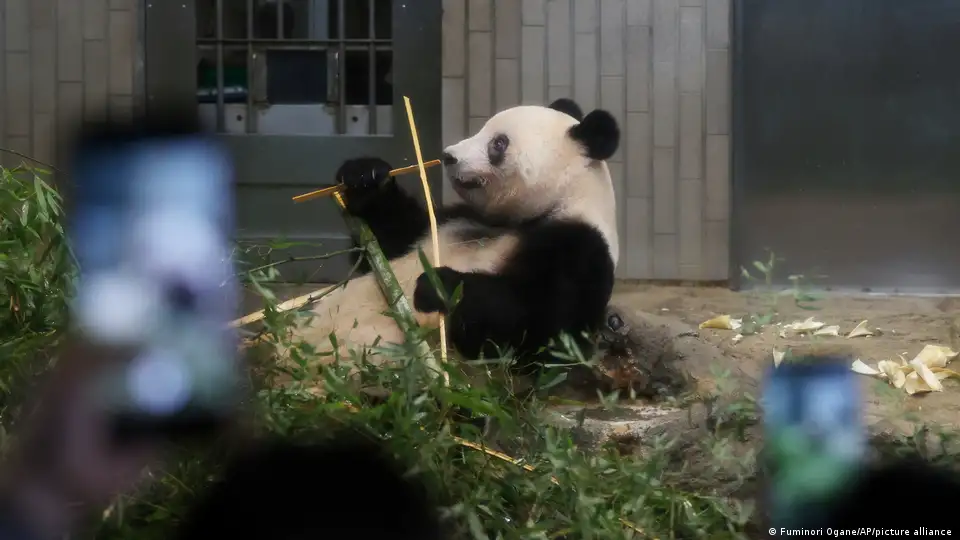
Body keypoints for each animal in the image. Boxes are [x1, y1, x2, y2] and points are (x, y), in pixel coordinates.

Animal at [283, 97, 620, 371]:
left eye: (499, 143)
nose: (449, 156)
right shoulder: (453, 219)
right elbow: (388, 243)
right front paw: (364, 176)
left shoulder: (580, 248)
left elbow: (542, 332)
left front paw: (438, 284)